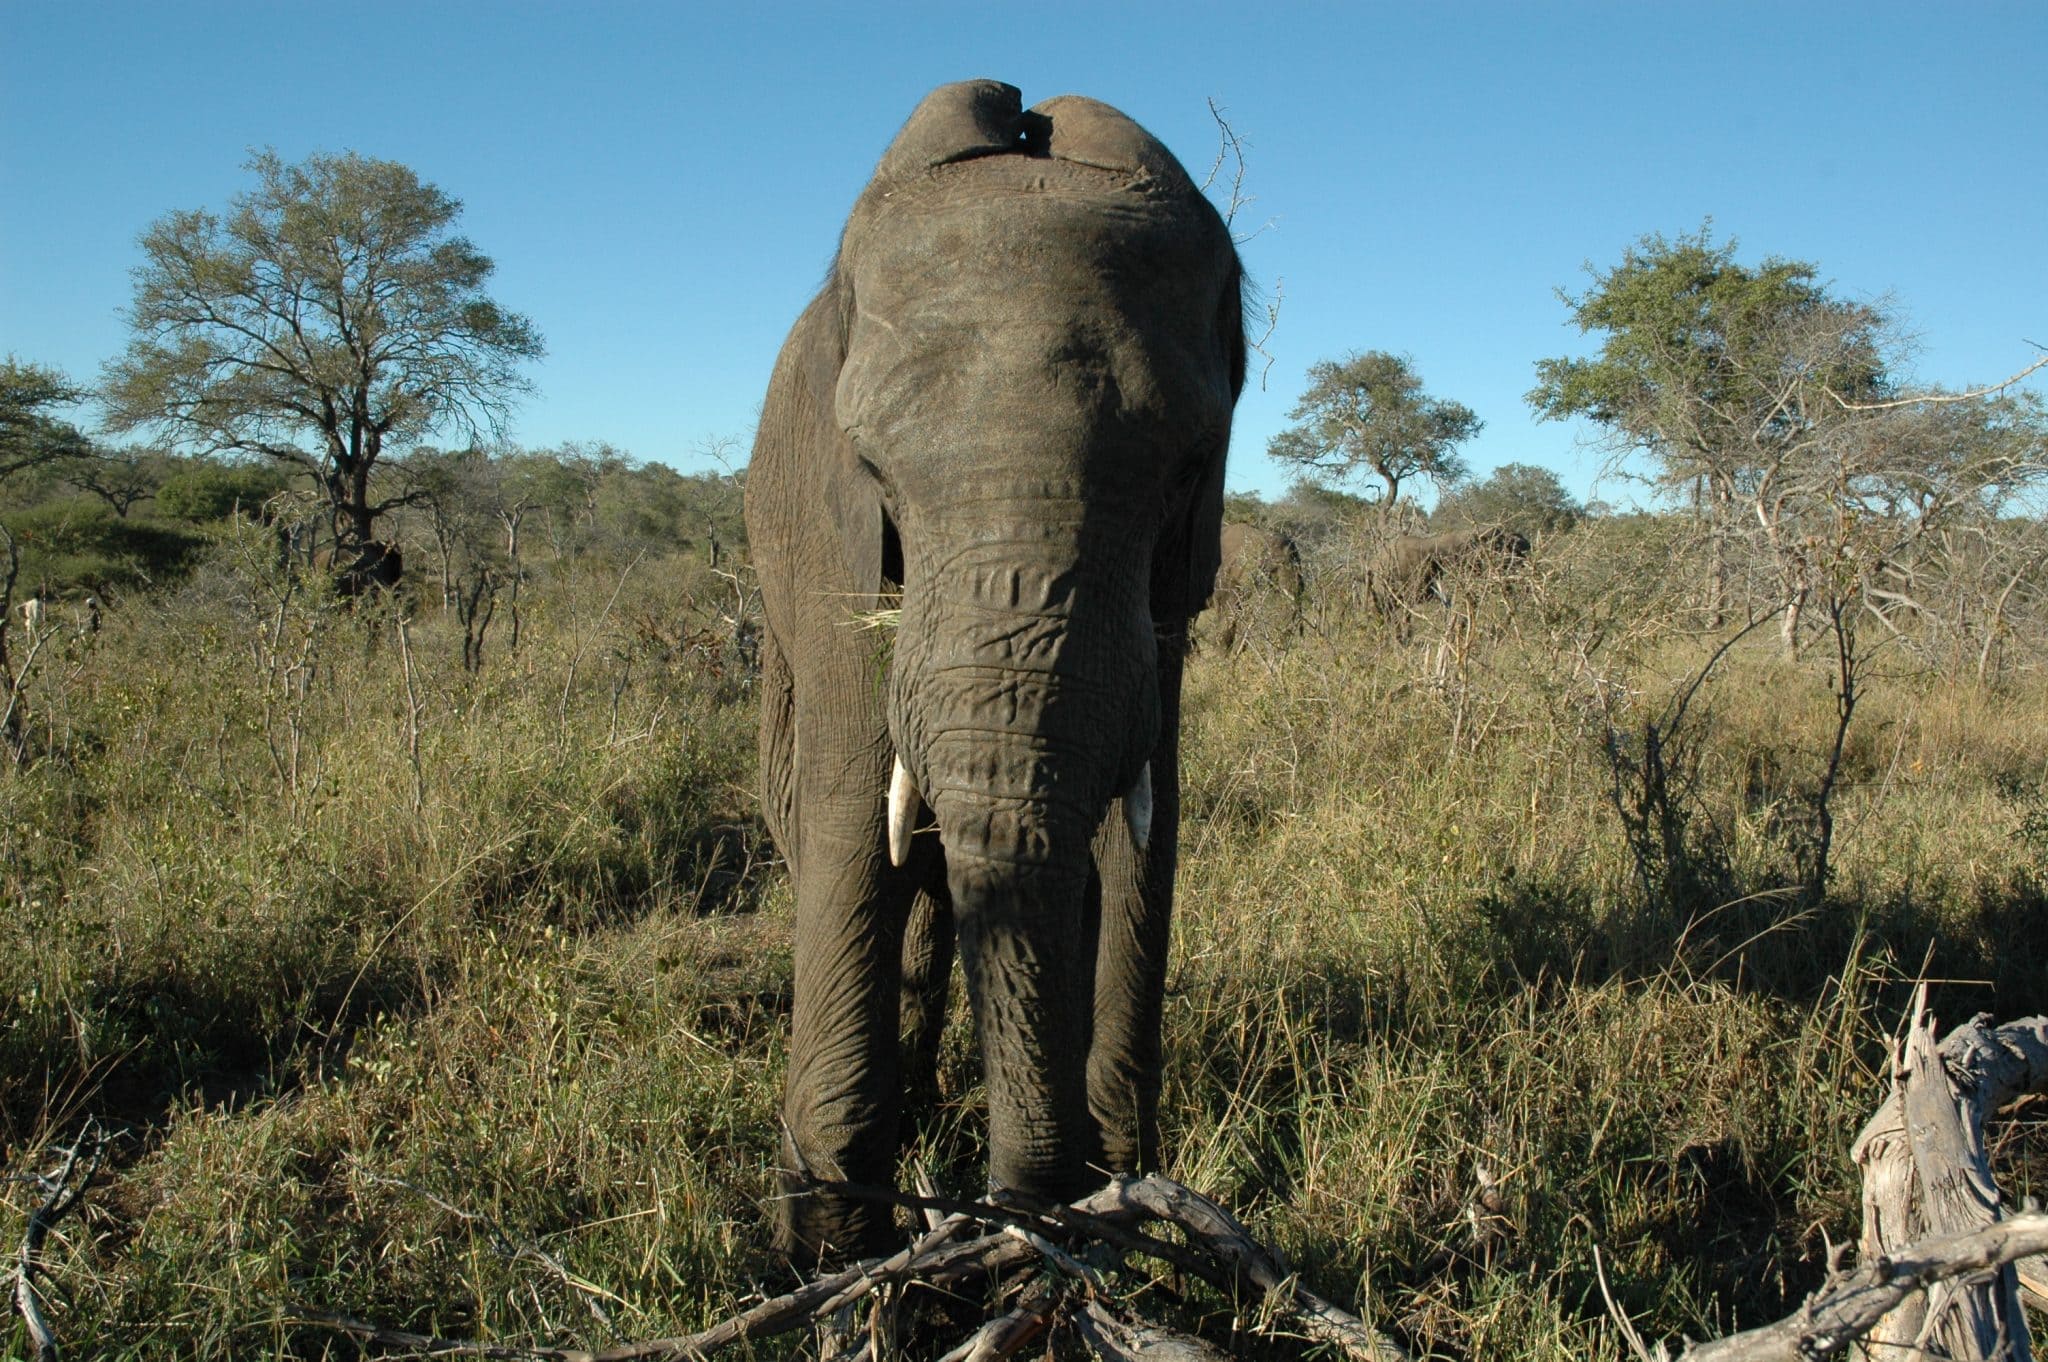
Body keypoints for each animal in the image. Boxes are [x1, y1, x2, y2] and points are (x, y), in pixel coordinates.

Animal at [744, 80, 1245, 1263]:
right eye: (871, 467)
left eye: (1186, 468)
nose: (1022, 1215)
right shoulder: (831, 549)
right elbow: (851, 809)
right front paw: (829, 1245)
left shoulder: (1167, 603)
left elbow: (1141, 831)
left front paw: (1118, 1188)